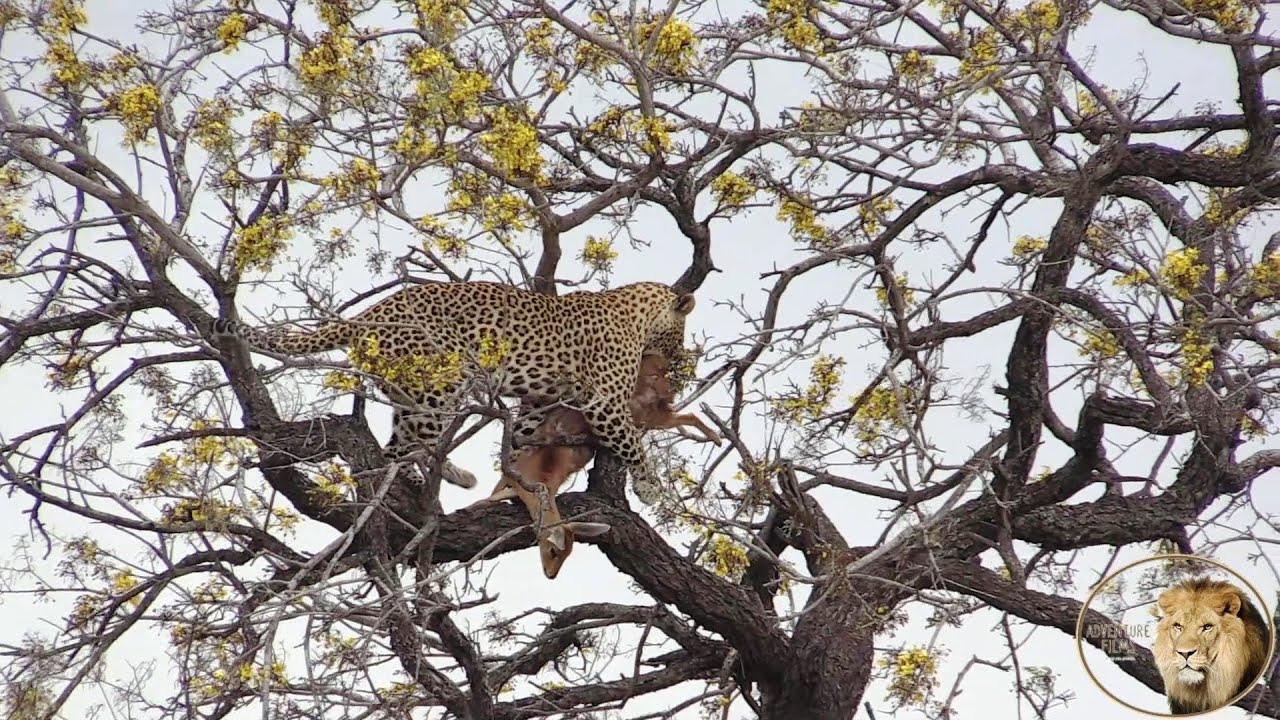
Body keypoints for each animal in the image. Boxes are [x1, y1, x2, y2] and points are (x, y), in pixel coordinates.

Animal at [211, 280, 697, 500]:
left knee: (399, 442)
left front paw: (521, 461)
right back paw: (422, 479)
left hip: (412, 392)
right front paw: (652, 488)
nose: (678, 358)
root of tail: (368, 314)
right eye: (682, 330)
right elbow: (633, 444)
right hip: (437, 389)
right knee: (400, 447)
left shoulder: (538, 400)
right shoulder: (604, 402)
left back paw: (443, 476)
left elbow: (526, 430)